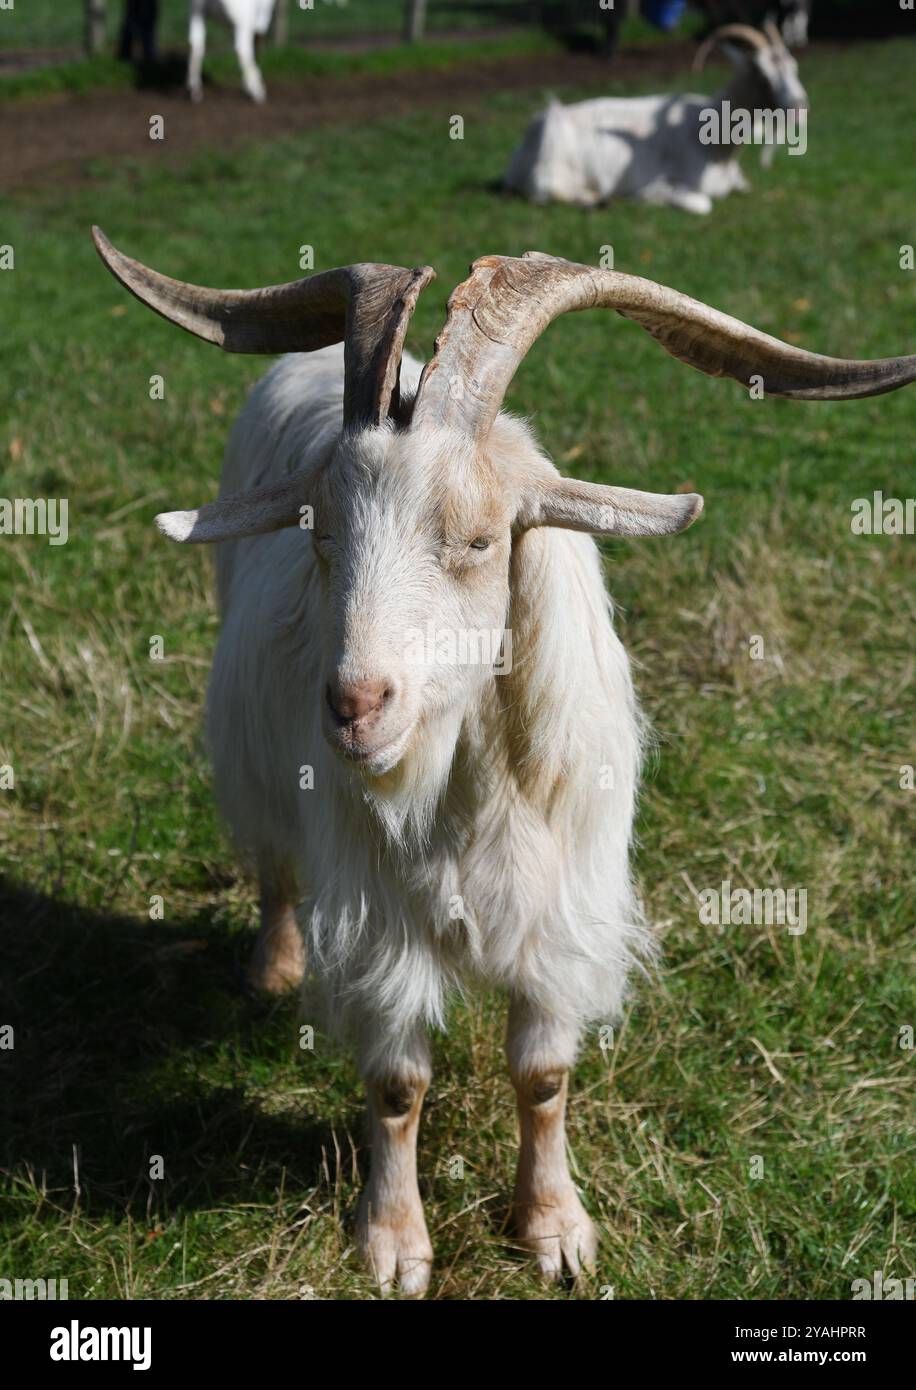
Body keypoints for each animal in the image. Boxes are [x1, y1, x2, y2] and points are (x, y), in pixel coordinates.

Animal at [93, 227, 916, 1293]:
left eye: (481, 539)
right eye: (320, 532)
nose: (354, 708)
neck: (470, 789)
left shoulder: (562, 907)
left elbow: (544, 1075)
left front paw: (555, 1229)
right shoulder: (381, 919)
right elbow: (398, 1084)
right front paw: (393, 1243)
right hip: (258, 760)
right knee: (273, 854)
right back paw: (273, 966)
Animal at [504, 23, 808, 214]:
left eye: (793, 66)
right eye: (759, 71)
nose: (798, 107)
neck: (716, 147)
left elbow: (744, 186)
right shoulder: (663, 182)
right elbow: (701, 204)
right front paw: (646, 200)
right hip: (550, 172)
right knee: (549, 192)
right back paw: (598, 200)